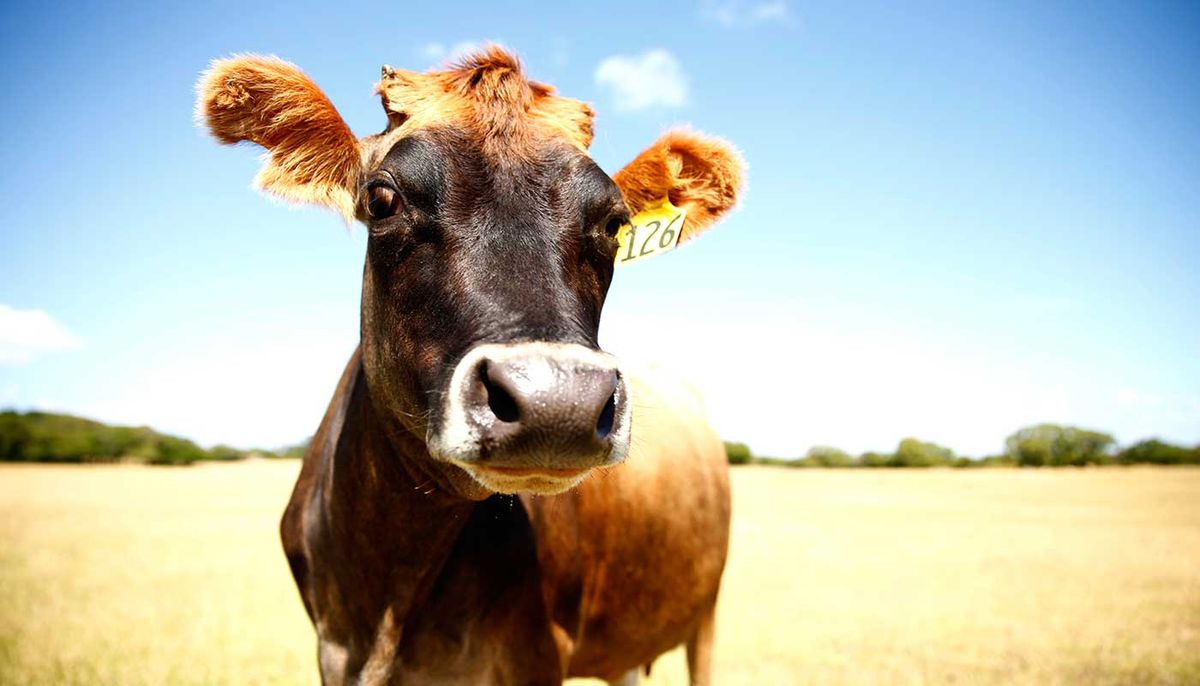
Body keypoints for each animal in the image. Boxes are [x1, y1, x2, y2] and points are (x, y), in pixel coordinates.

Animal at [197, 47, 743, 685]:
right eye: (382, 199)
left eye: (614, 223)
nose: (558, 402)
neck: (387, 600)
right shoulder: (332, 654)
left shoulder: (535, 657)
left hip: (706, 610)